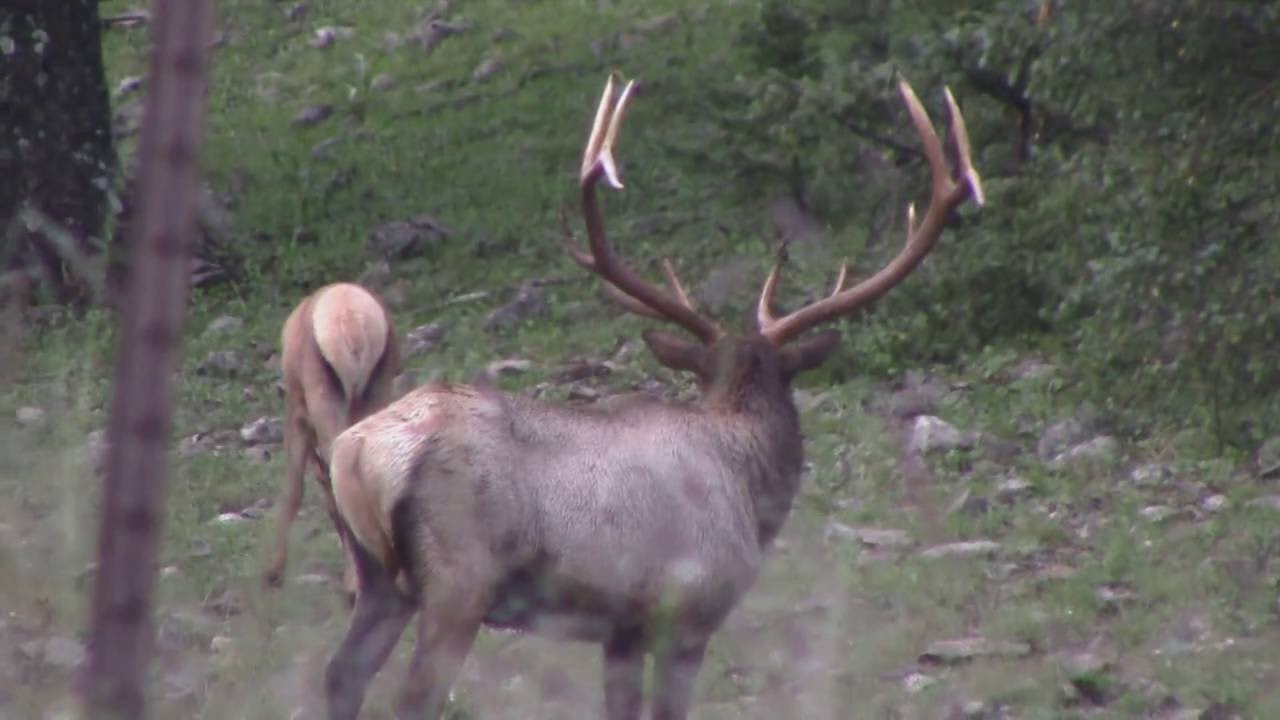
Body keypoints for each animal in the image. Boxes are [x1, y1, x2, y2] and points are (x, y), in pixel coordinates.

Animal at [262, 282, 402, 601]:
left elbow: (294, 491)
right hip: (375, 395)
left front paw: (273, 572)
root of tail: (351, 321)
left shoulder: (298, 419)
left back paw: (356, 585)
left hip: (327, 408)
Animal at [321, 74, 983, 720]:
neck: (749, 485)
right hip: (458, 580)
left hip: (381, 580)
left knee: (340, 677)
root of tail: (358, 454)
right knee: (413, 698)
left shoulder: (621, 632)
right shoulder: (688, 611)